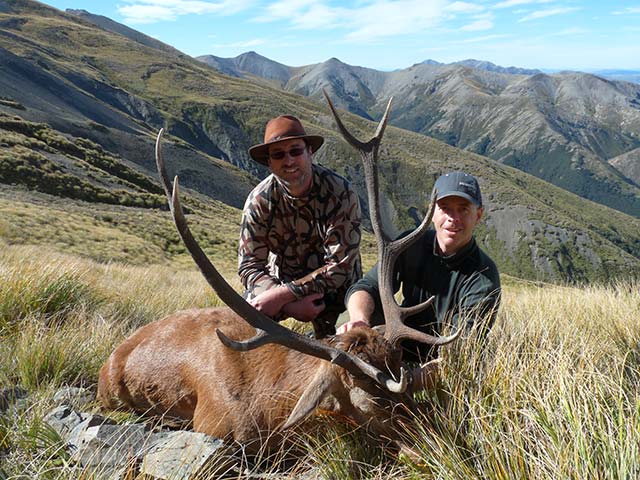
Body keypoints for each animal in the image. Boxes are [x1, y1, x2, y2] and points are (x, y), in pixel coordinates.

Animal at [97, 91, 461, 458]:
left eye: (409, 382)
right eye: (370, 401)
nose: (438, 442)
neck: (273, 410)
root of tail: (110, 360)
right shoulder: (212, 424)